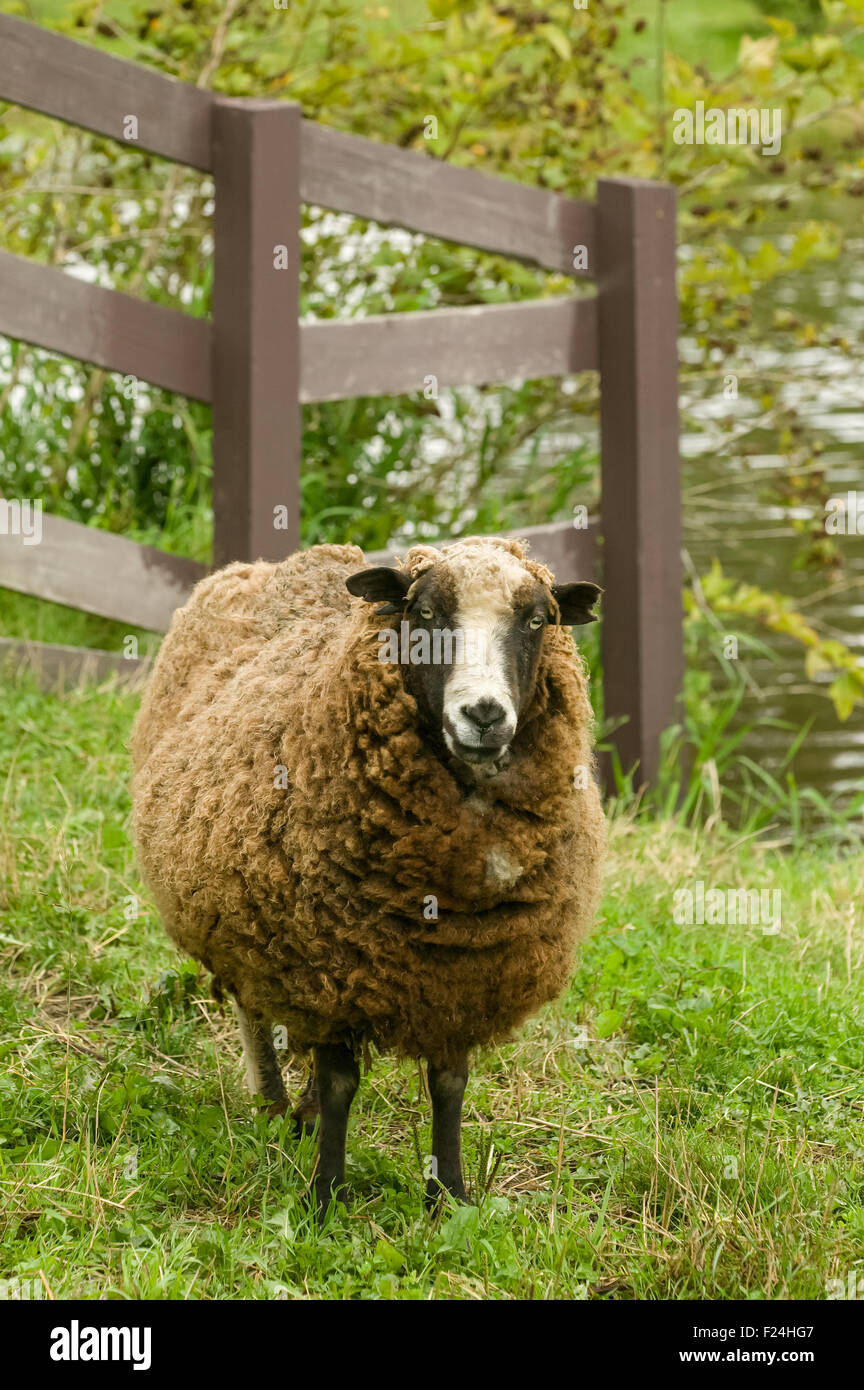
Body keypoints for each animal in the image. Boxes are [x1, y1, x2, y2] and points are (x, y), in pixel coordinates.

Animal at [131, 535, 606, 1213]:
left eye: (539, 620)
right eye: (425, 612)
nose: (484, 715)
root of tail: (266, 565)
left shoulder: (463, 976)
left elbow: (448, 1084)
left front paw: (449, 1197)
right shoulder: (323, 962)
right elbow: (339, 1083)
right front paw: (324, 1198)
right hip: (240, 918)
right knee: (255, 1012)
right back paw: (273, 1107)